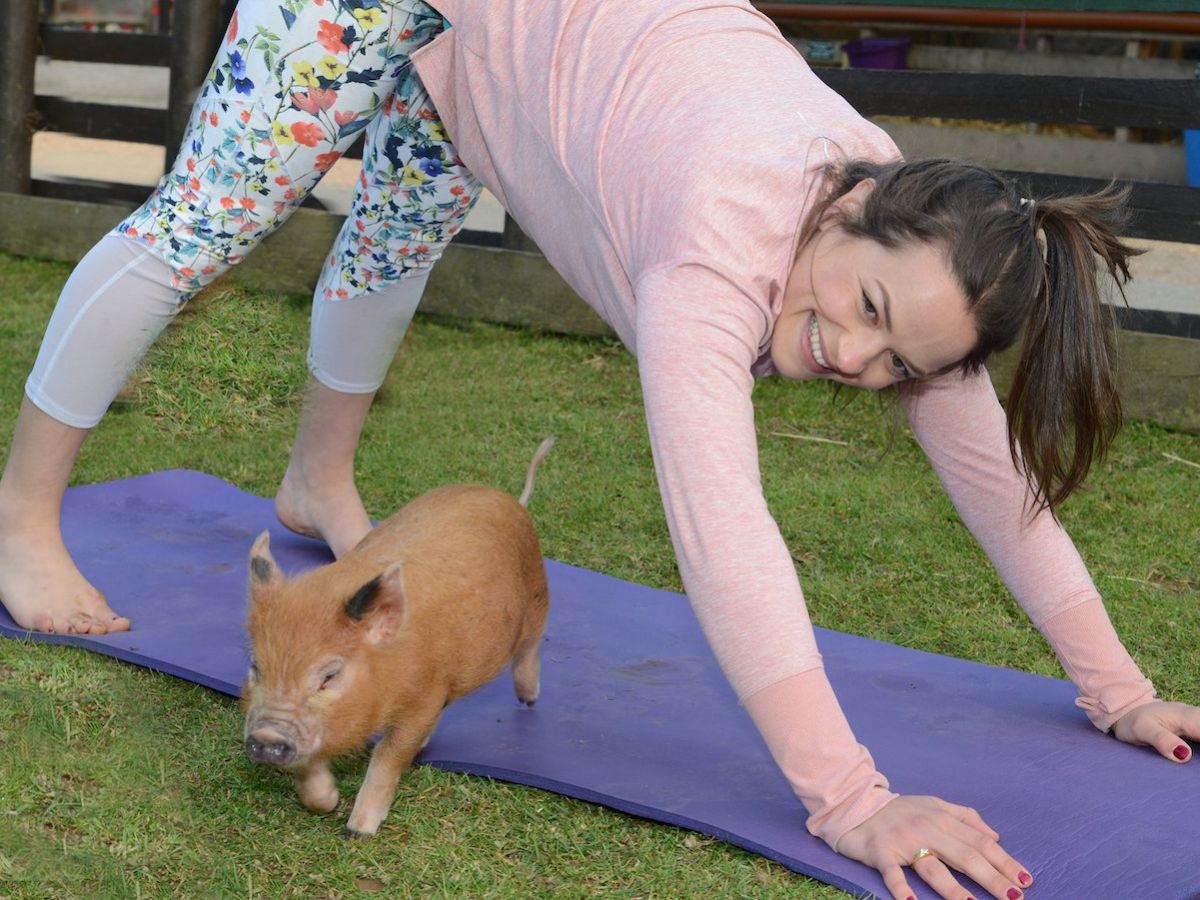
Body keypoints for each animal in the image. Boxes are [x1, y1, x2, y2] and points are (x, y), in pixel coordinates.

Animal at [241, 437, 554, 836]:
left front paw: (357, 831)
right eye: (255, 666)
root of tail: (511, 500)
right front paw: (328, 802)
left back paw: (528, 699)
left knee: (530, 648)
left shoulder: (426, 695)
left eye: (329, 676)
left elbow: (389, 754)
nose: (265, 738)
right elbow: (310, 767)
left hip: (537, 602)